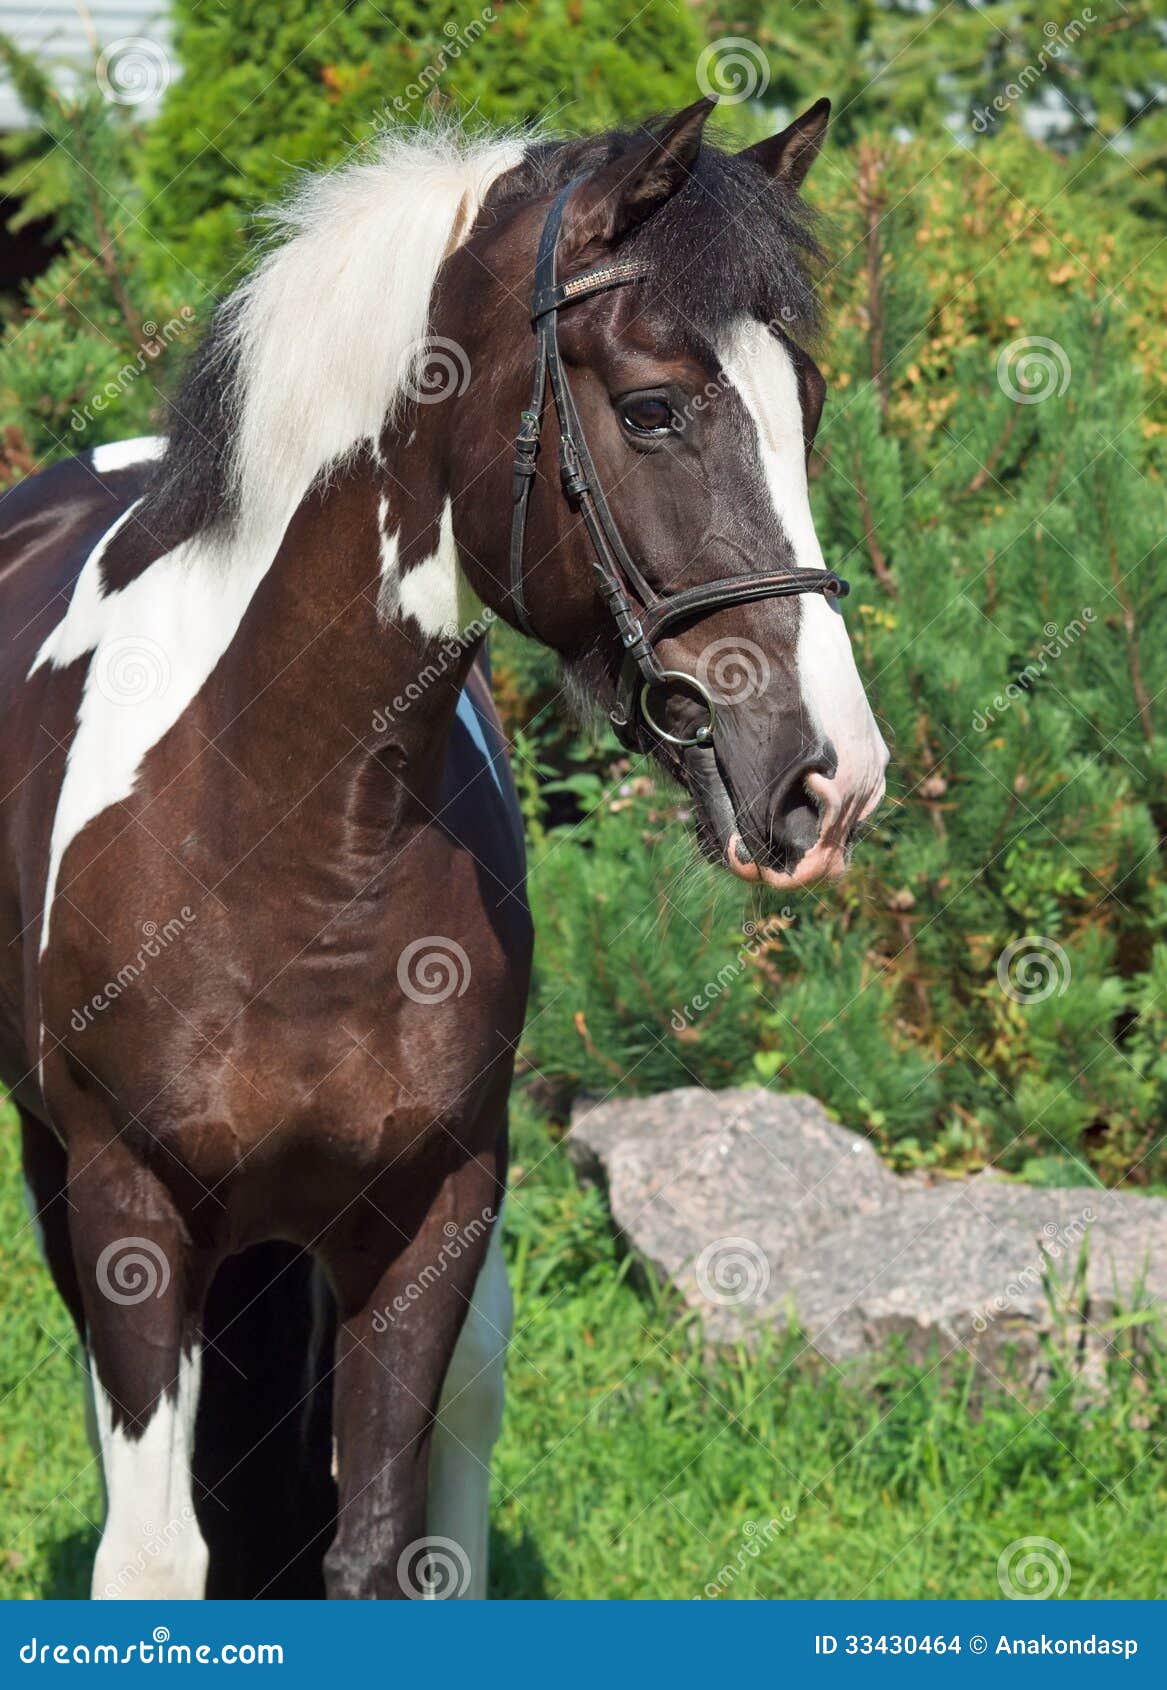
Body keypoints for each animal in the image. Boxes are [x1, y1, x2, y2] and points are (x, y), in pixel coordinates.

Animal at [0, 96, 887, 1600]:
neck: (295, 842)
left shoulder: (434, 1204)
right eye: (652, 409)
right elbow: (155, 1551)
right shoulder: (127, 1198)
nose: (832, 777)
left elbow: (376, 1540)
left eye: (805, 408)